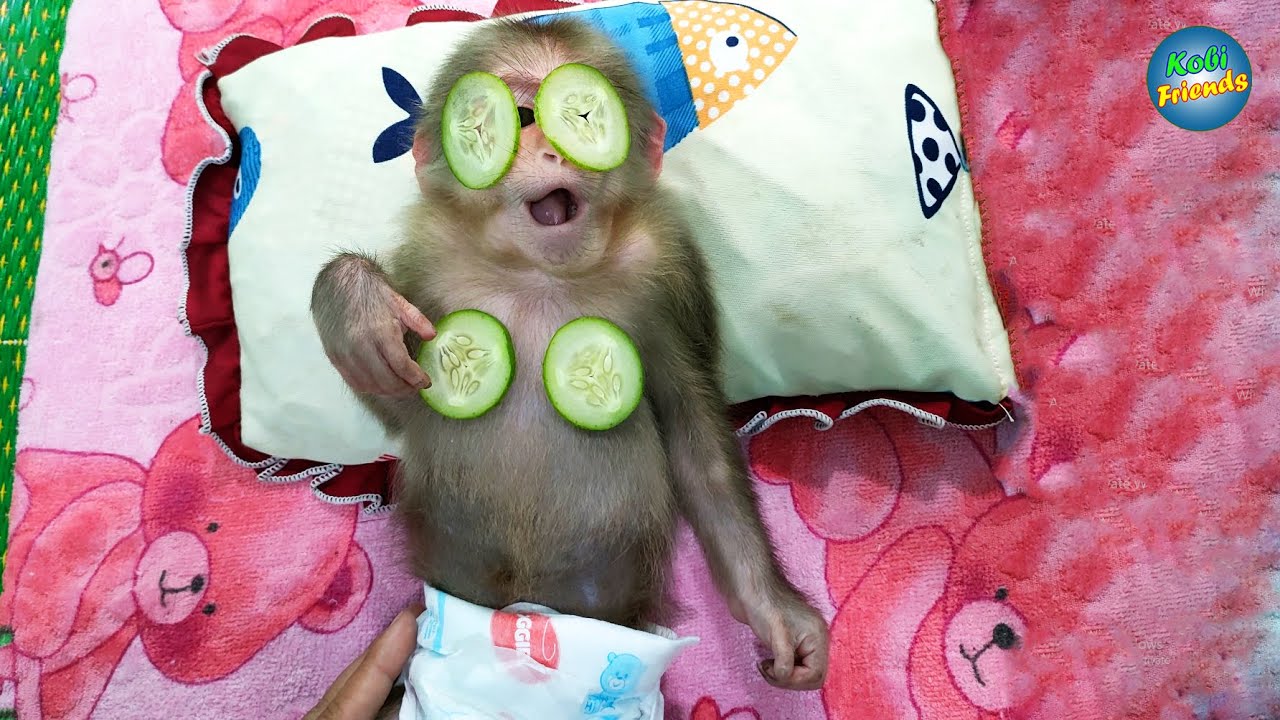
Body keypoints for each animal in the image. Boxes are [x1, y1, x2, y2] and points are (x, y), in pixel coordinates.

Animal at [309, 16, 830, 700]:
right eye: (521, 117)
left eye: (586, 113)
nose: (554, 152)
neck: (539, 272)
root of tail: (529, 612)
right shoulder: (429, 257)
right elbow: (400, 402)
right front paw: (355, 304)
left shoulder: (668, 264)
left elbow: (695, 439)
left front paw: (771, 609)